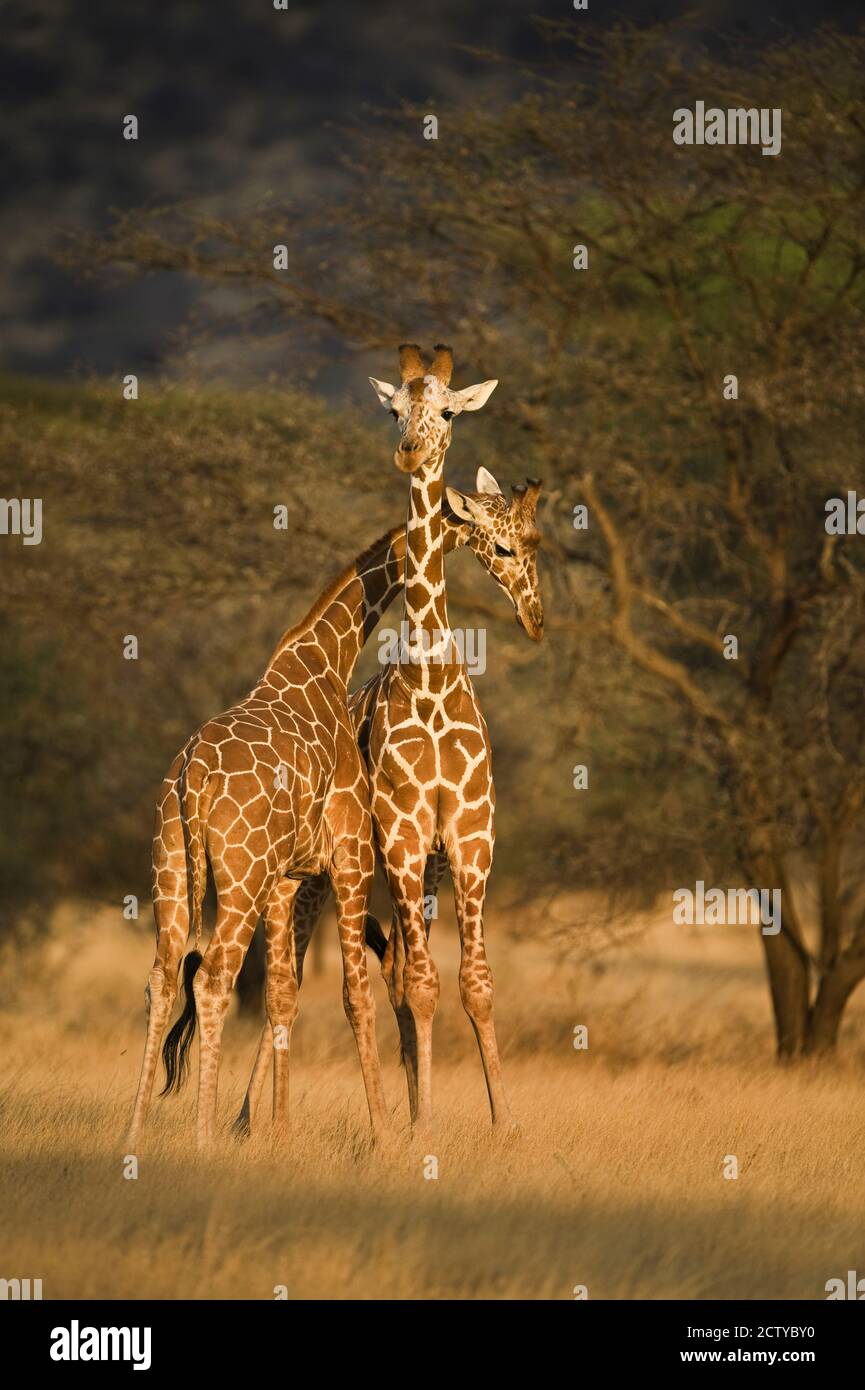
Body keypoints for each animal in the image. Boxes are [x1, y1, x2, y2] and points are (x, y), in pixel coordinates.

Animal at [235, 466, 545, 1136]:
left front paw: (501, 1123)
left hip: (418, 868)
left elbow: (471, 982)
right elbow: (422, 984)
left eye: (537, 541)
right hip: (318, 876)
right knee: (295, 973)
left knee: (395, 973)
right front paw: (423, 1125)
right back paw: (254, 1118)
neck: (434, 685)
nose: (536, 618)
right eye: (501, 547)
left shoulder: (467, 838)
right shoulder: (401, 836)